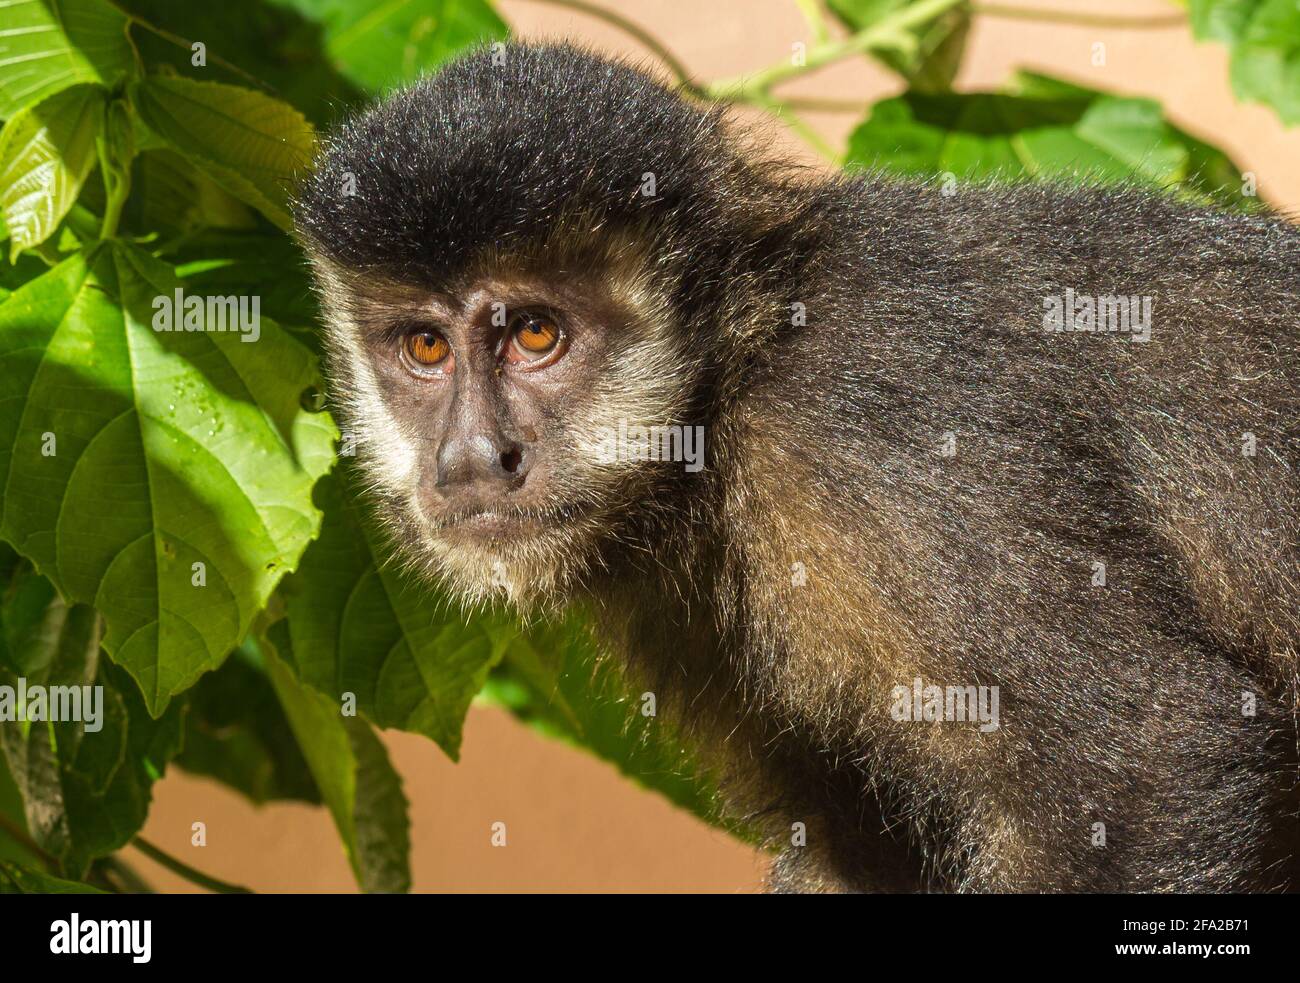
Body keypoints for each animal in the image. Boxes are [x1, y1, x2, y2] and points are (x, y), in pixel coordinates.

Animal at [293, 41, 1300, 893]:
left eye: (535, 334)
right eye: (426, 347)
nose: (471, 459)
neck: (734, 383)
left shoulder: (869, 436)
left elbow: (1149, 755)